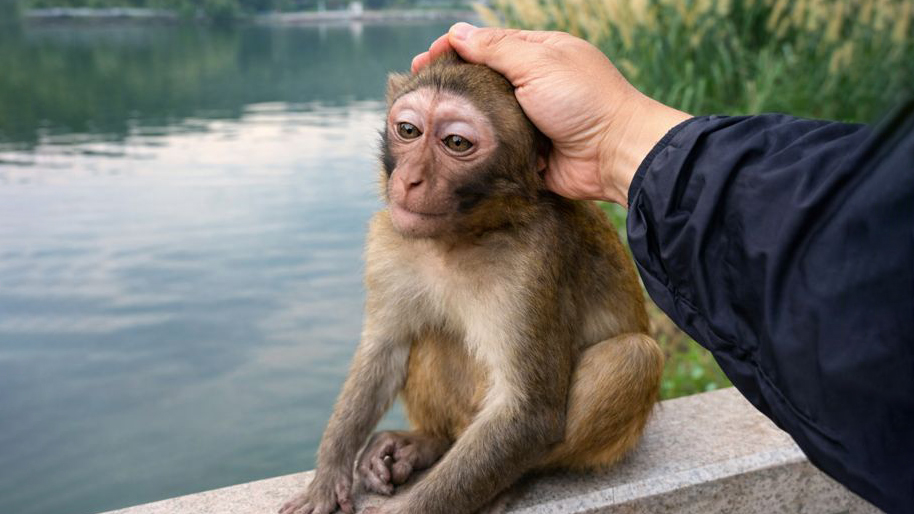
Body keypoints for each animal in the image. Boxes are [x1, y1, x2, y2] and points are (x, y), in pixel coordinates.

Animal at [279, 51, 664, 514]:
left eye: (457, 143)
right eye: (408, 131)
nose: (410, 178)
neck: (459, 237)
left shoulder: (535, 262)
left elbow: (527, 412)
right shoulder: (390, 241)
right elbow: (383, 350)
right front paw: (327, 476)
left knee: (633, 356)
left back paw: (508, 483)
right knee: (429, 332)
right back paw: (427, 442)